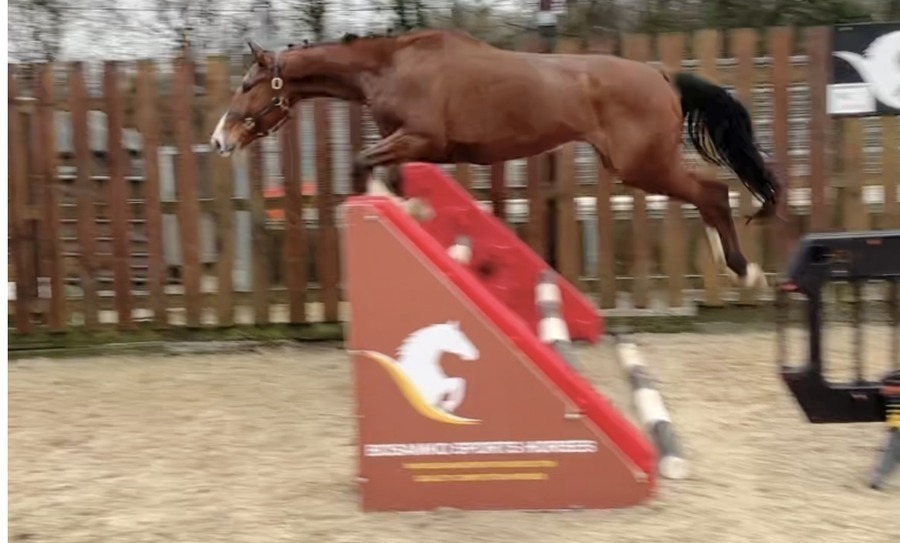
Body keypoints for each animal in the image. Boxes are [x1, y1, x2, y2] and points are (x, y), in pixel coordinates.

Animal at [209, 28, 784, 290]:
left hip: (641, 166)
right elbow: (384, 174)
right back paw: (733, 265)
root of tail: (661, 76)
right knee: (710, 196)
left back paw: (745, 271)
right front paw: (419, 217)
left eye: (246, 85)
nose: (219, 140)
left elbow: (361, 163)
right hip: (639, 166)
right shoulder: (406, 144)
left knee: (713, 192)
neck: (392, 66)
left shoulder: (420, 138)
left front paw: (407, 215)